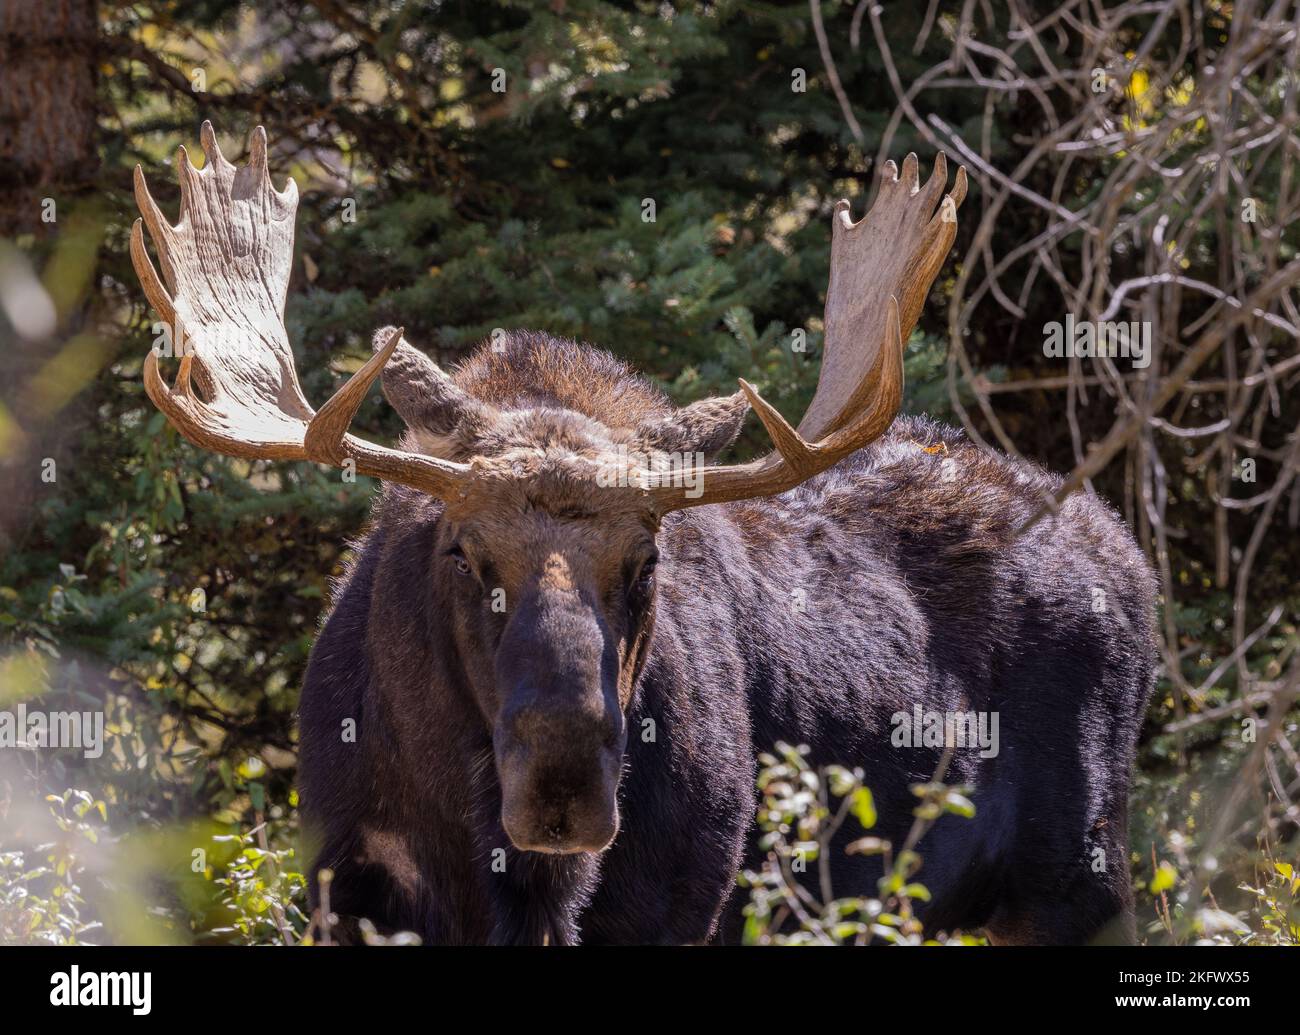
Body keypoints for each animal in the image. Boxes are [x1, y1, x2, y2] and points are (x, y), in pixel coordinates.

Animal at [130, 122, 1156, 945]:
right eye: (460, 551)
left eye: (648, 560)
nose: (564, 780)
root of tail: (1129, 556)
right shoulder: (349, 885)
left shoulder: (680, 900)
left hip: (1081, 881)